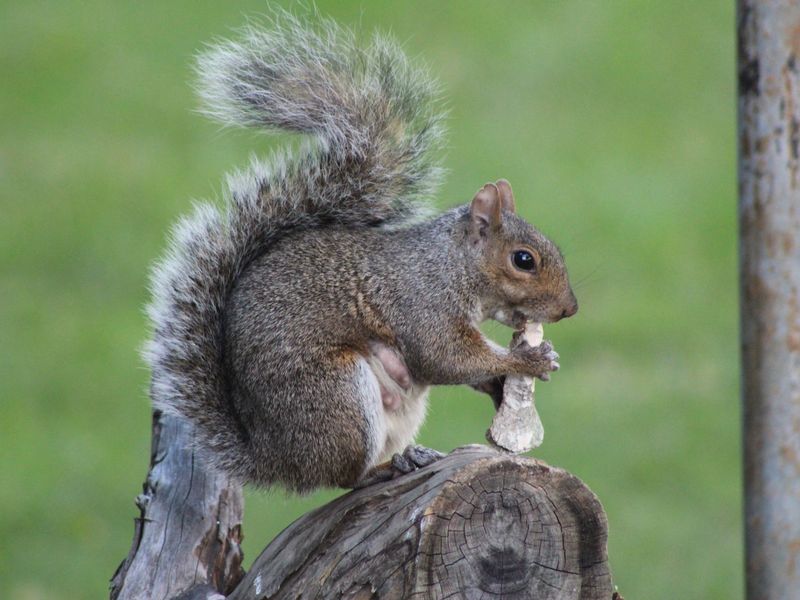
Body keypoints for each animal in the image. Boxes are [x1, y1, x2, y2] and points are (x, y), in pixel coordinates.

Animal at [145, 14, 578, 494]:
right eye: (524, 260)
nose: (570, 309)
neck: (450, 264)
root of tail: (276, 459)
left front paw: (506, 383)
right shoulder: (421, 303)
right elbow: (445, 358)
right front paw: (527, 359)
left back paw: (410, 456)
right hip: (337, 395)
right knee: (344, 476)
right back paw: (380, 469)